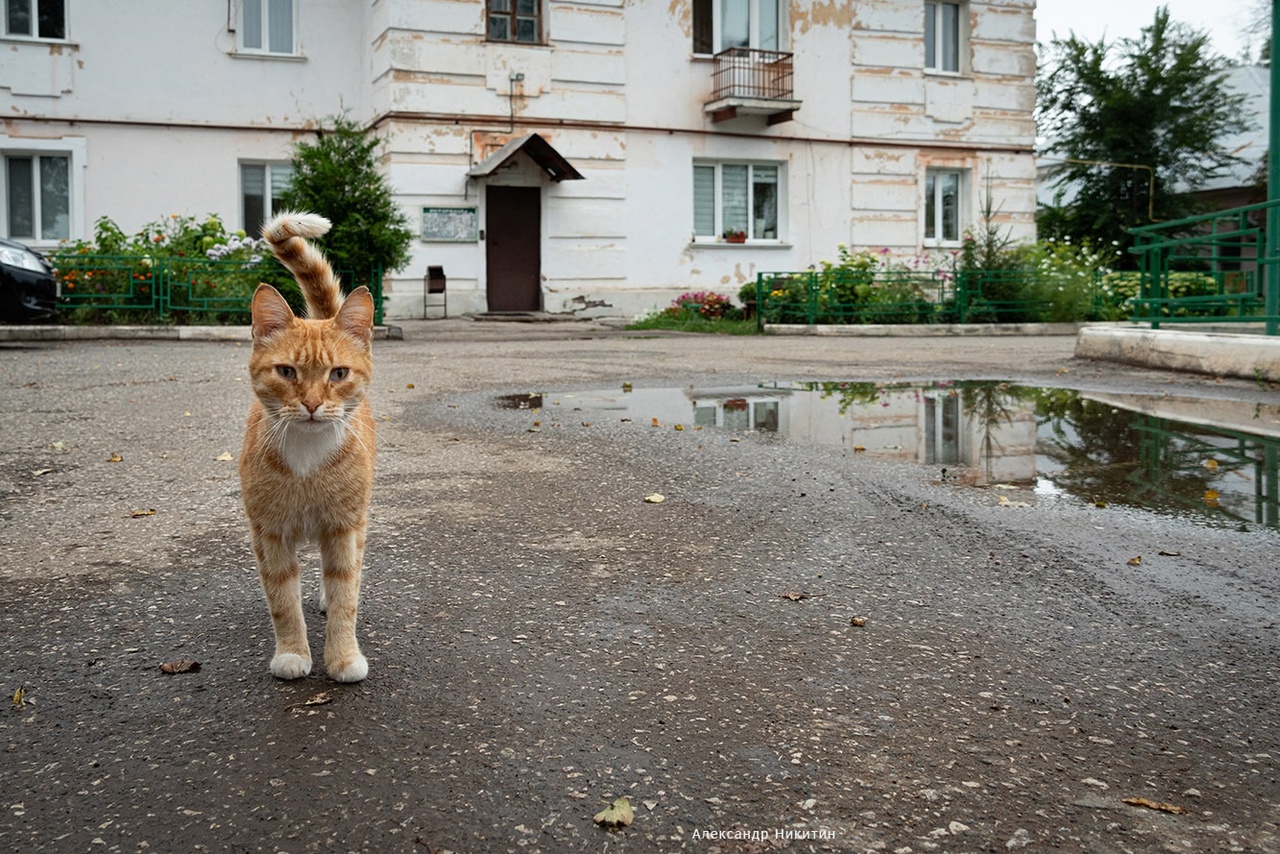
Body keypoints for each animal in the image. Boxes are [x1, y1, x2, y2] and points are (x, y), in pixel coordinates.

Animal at [239, 215, 373, 686]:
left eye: (338, 373)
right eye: (286, 372)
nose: (313, 404)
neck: (308, 456)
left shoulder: (344, 527)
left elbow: (346, 594)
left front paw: (343, 656)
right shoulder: (270, 534)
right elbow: (282, 600)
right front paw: (293, 653)